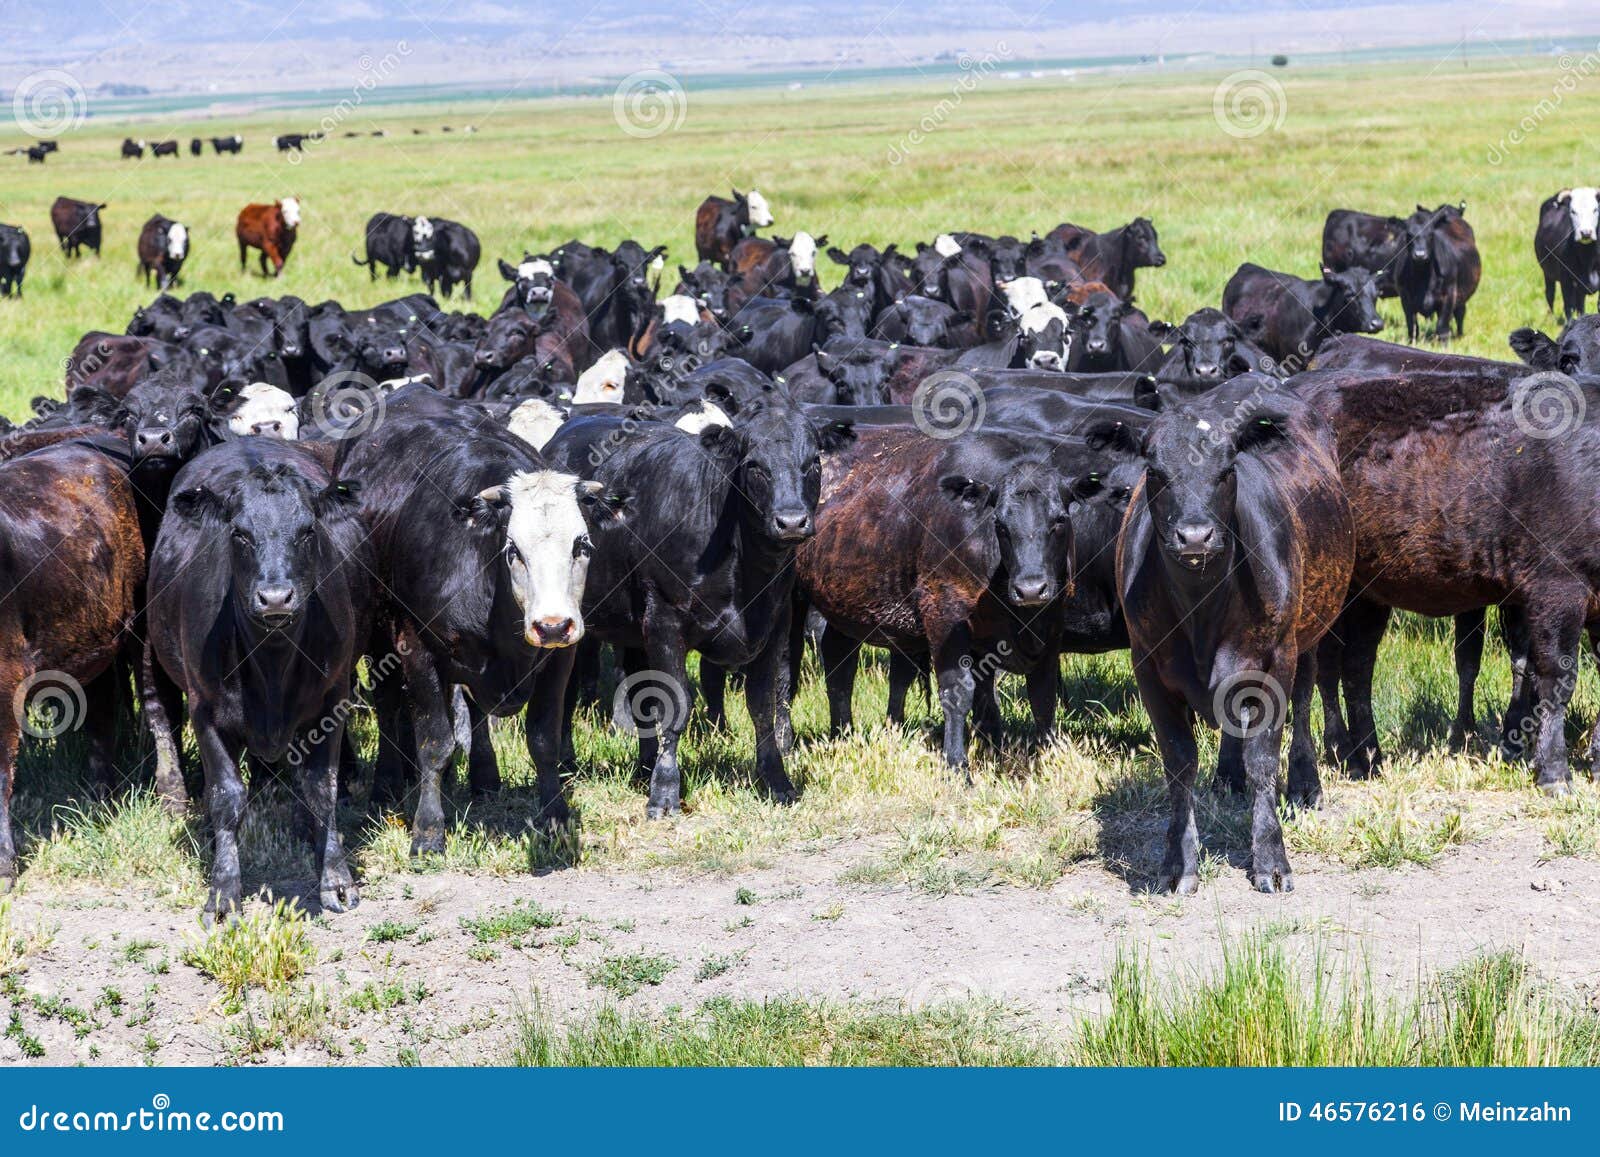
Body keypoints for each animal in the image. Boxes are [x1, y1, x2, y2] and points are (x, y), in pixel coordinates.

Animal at [146, 440, 371, 916]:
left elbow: (322, 788)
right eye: (239, 533)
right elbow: (226, 797)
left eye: (308, 531)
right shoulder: (204, 708)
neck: (273, 663)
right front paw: (223, 891)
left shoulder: (332, 700)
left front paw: (335, 878)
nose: (275, 597)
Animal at [1118, 376, 1354, 894]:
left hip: (1308, 634)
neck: (1202, 610)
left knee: (1303, 701)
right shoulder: (1148, 666)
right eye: (1155, 471)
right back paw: (1228, 776)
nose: (1194, 536)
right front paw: (1178, 863)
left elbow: (1264, 758)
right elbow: (1179, 761)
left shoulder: (1274, 659)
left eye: (1226, 471)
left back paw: (1305, 783)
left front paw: (1271, 860)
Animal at [1395, 203, 1480, 342]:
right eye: (1409, 234)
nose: (1420, 255)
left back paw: (1459, 336)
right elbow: (1412, 325)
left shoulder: (1449, 295)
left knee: (1460, 314)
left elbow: (1442, 326)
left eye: (1430, 234)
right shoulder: (1405, 298)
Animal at [1535, 188, 1600, 319]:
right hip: (1547, 273)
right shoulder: (1566, 280)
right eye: (1573, 211)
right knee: (1550, 294)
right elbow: (1568, 308)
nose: (1586, 233)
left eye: (1595, 209)